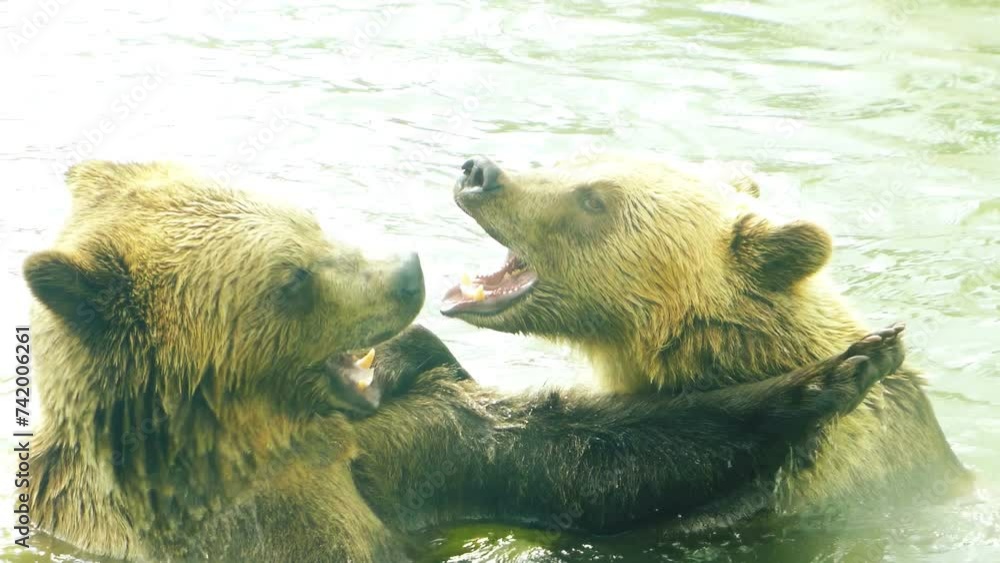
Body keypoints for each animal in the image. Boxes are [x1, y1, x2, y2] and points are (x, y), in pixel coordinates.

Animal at [23, 159, 905, 562]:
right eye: (292, 276)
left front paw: (838, 370)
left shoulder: (393, 454)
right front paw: (836, 372)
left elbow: (573, 455)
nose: (405, 273)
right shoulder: (258, 522)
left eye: (311, 220)